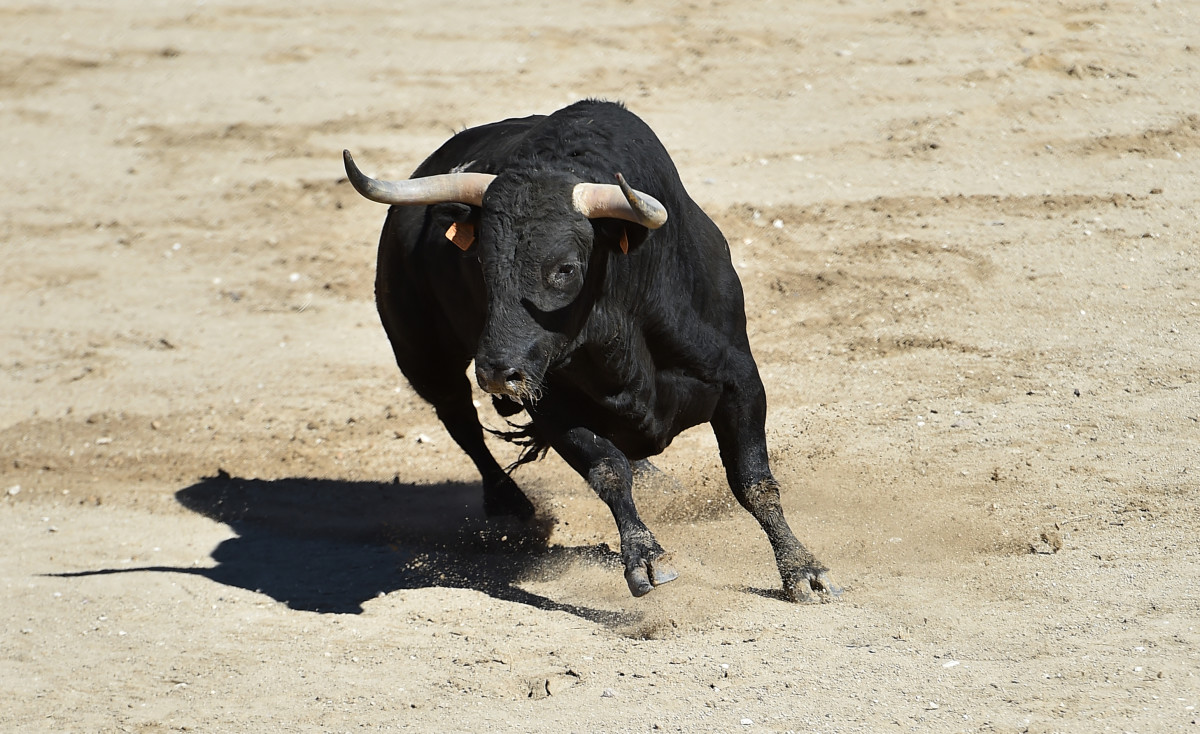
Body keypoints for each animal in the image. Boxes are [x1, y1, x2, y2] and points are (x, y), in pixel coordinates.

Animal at [342, 99, 840, 602]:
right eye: (481, 263)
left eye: (564, 268)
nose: (499, 373)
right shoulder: (553, 406)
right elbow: (608, 470)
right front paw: (645, 557)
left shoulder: (740, 380)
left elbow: (753, 480)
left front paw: (802, 569)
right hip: (423, 356)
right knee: (461, 420)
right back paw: (509, 503)